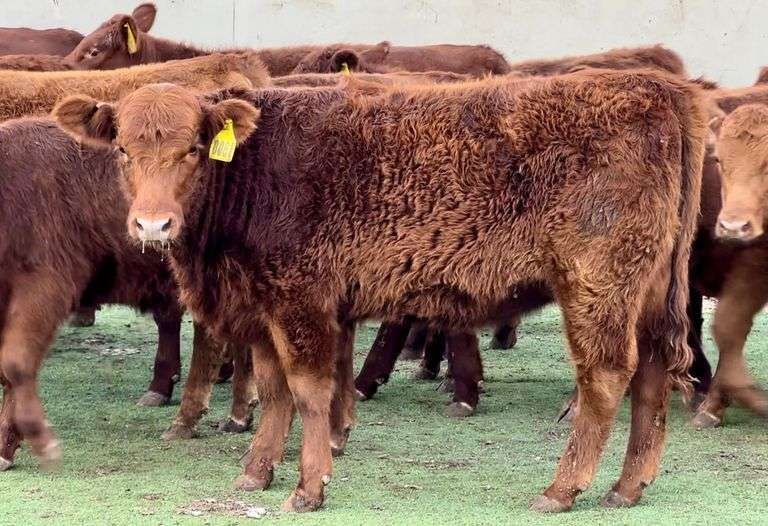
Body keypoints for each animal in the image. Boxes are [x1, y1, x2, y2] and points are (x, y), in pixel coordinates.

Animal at [54, 68, 706, 512]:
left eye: (192, 148)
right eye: (123, 149)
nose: (153, 225)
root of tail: (655, 85)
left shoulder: (302, 302)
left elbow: (310, 391)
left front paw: (308, 486)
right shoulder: (264, 309)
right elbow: (274, 390)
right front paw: (256, 471)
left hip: (598, 283)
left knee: (606, 376)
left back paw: (562, 487)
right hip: (647, 291)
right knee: (652, 374)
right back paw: (627, 487)